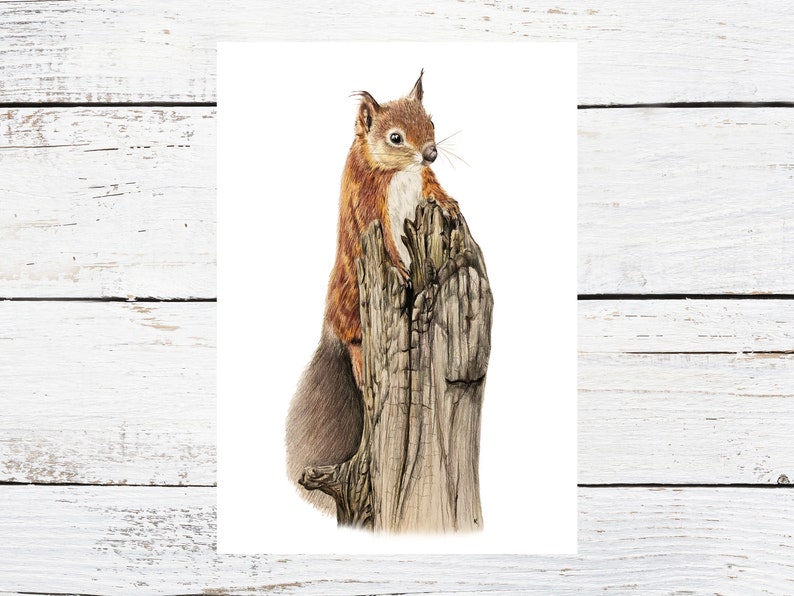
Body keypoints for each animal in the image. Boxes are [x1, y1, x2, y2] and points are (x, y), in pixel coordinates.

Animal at [285, 71, 460, 515]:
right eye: (395, 137)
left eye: (431, 121)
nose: (431, 153)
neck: (399, 173)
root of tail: (330, 326)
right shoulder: (367, 201)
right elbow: (380, 233)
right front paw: (401, 266)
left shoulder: (423, 182)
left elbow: (434, 191)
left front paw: (450, 204)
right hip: (353, 318)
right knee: (355, 348)